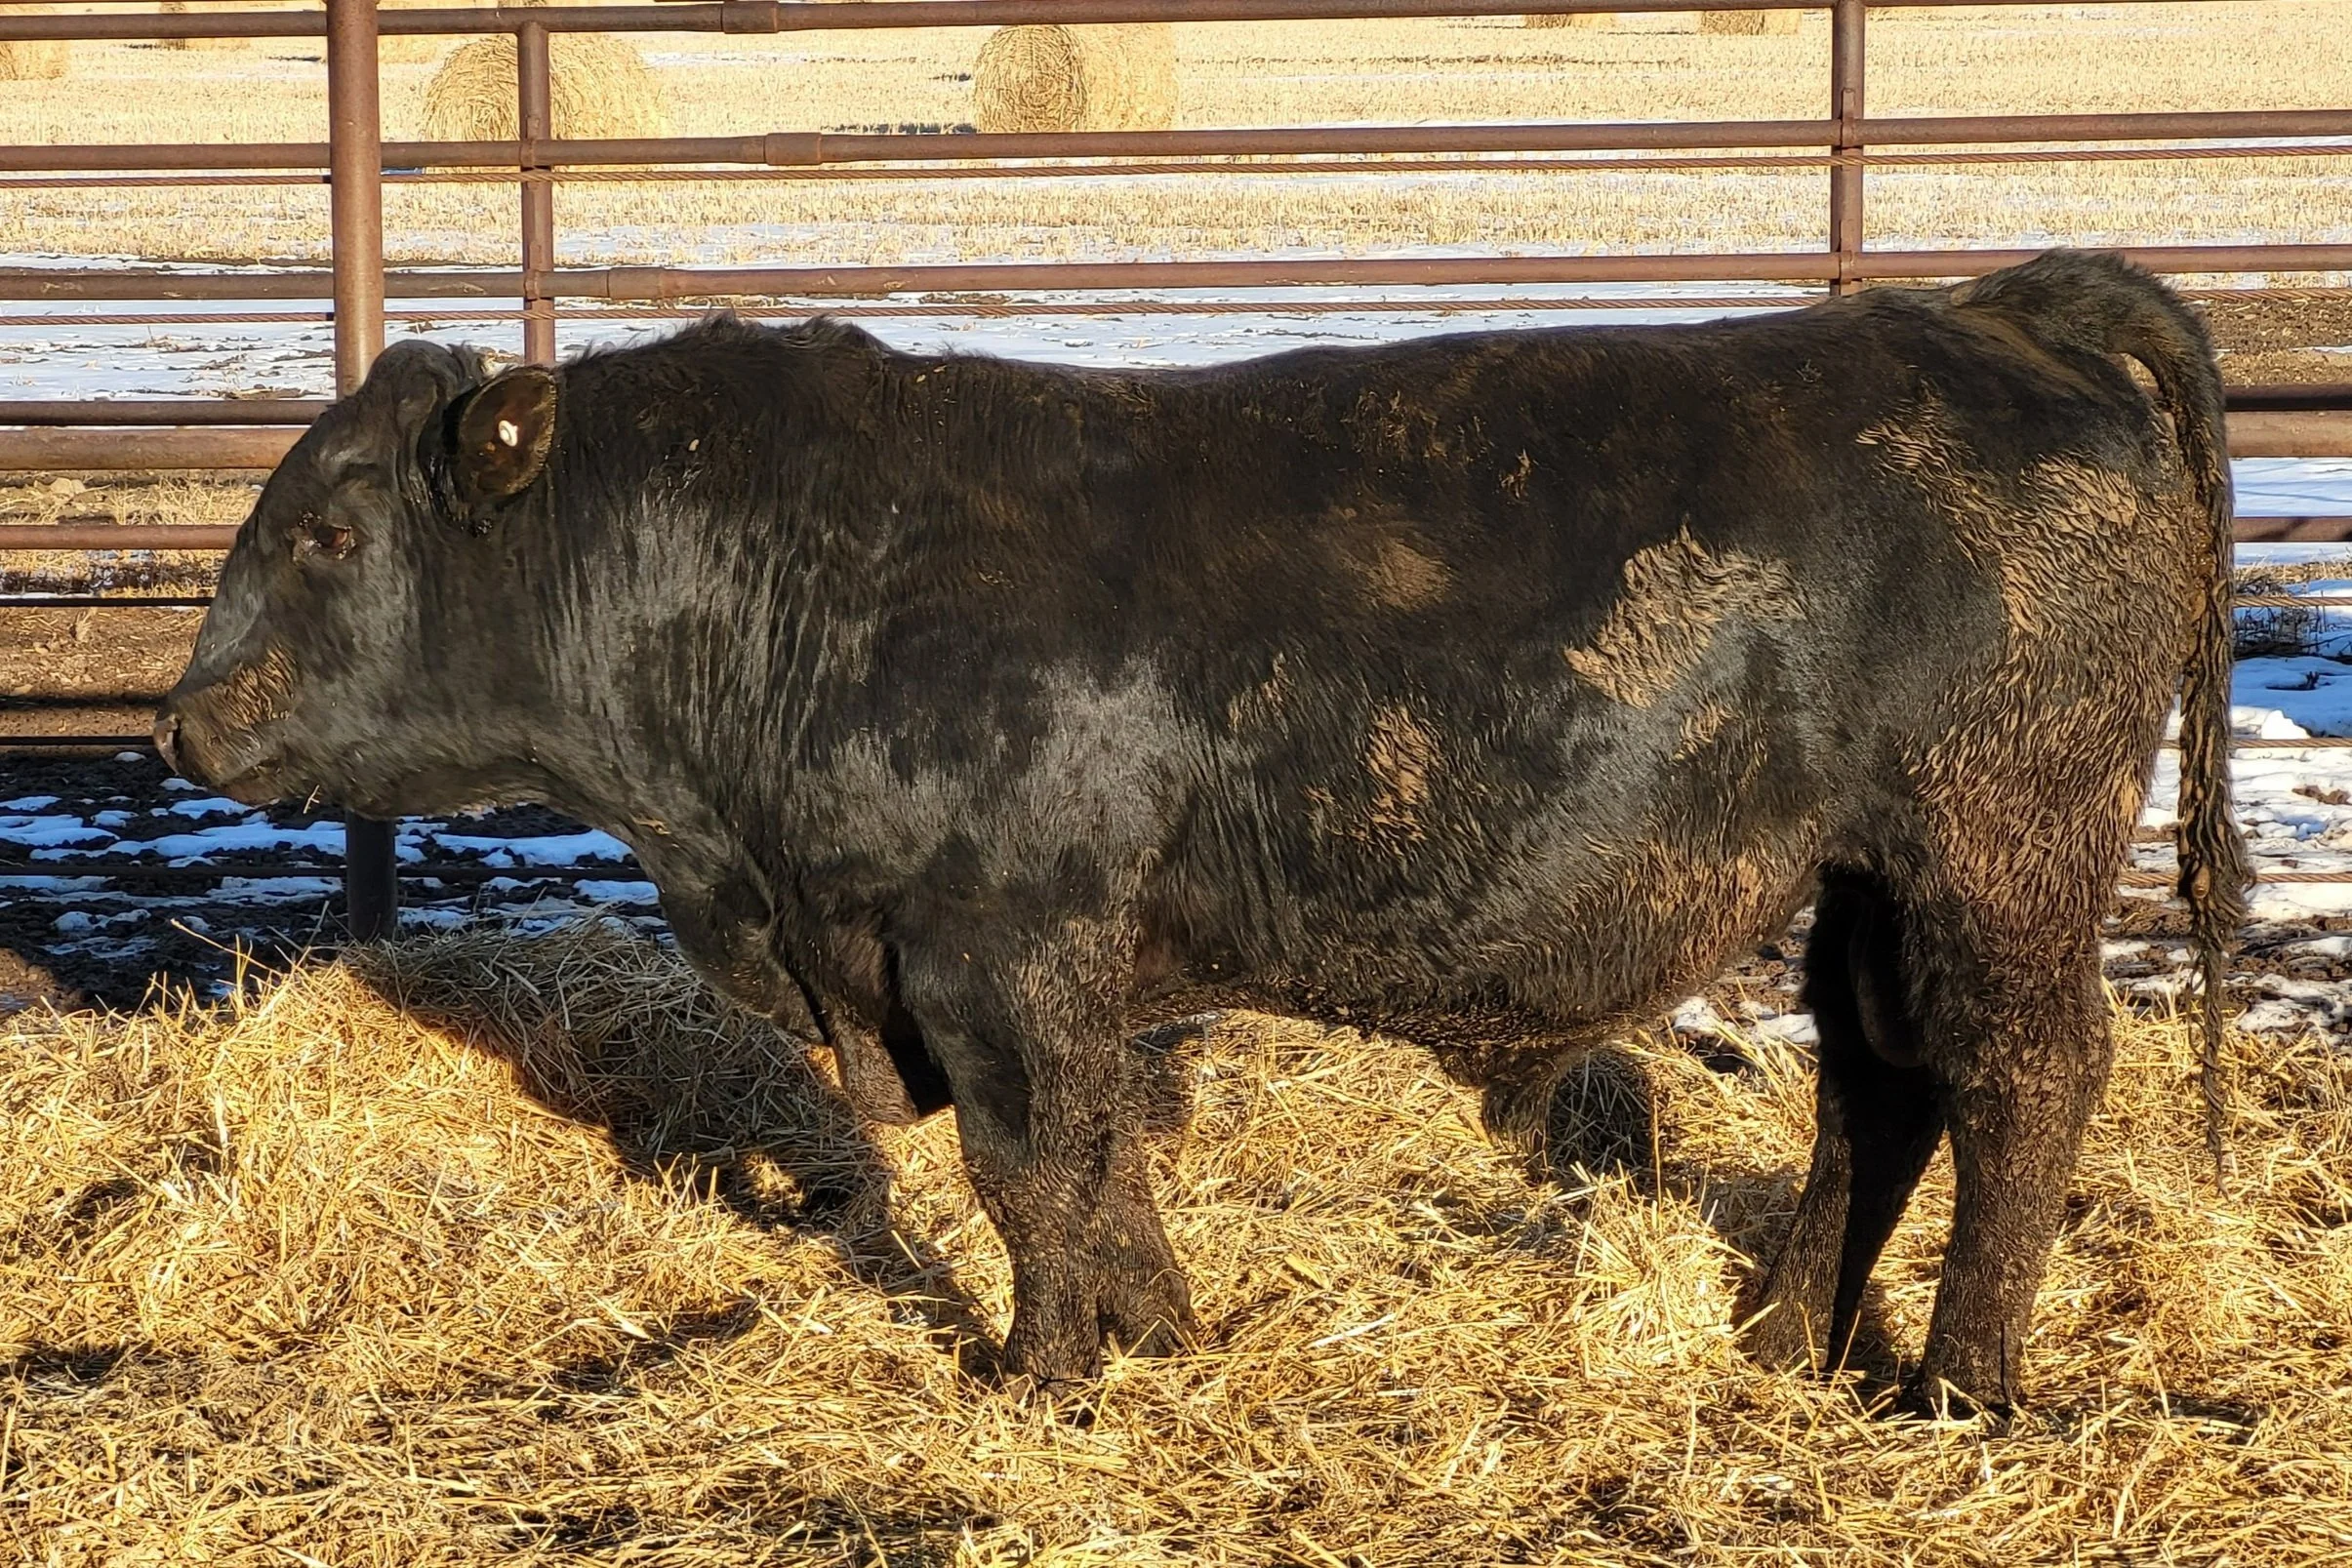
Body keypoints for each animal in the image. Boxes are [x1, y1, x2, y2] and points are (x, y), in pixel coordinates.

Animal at [155, 250, 2247, 1414]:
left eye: (327, 525)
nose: (183, 717)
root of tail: (1982, 311)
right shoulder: (1022, 970)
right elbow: (1094, 1159)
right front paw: (1157, 1335)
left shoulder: (991, 948)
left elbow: (1026, 1165)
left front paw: (1042, 1369)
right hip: (1872, 875)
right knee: (1882, 1085)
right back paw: (1786, 1337)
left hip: (2000, 840)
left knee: (2025, 1073)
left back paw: (1962, 1385)